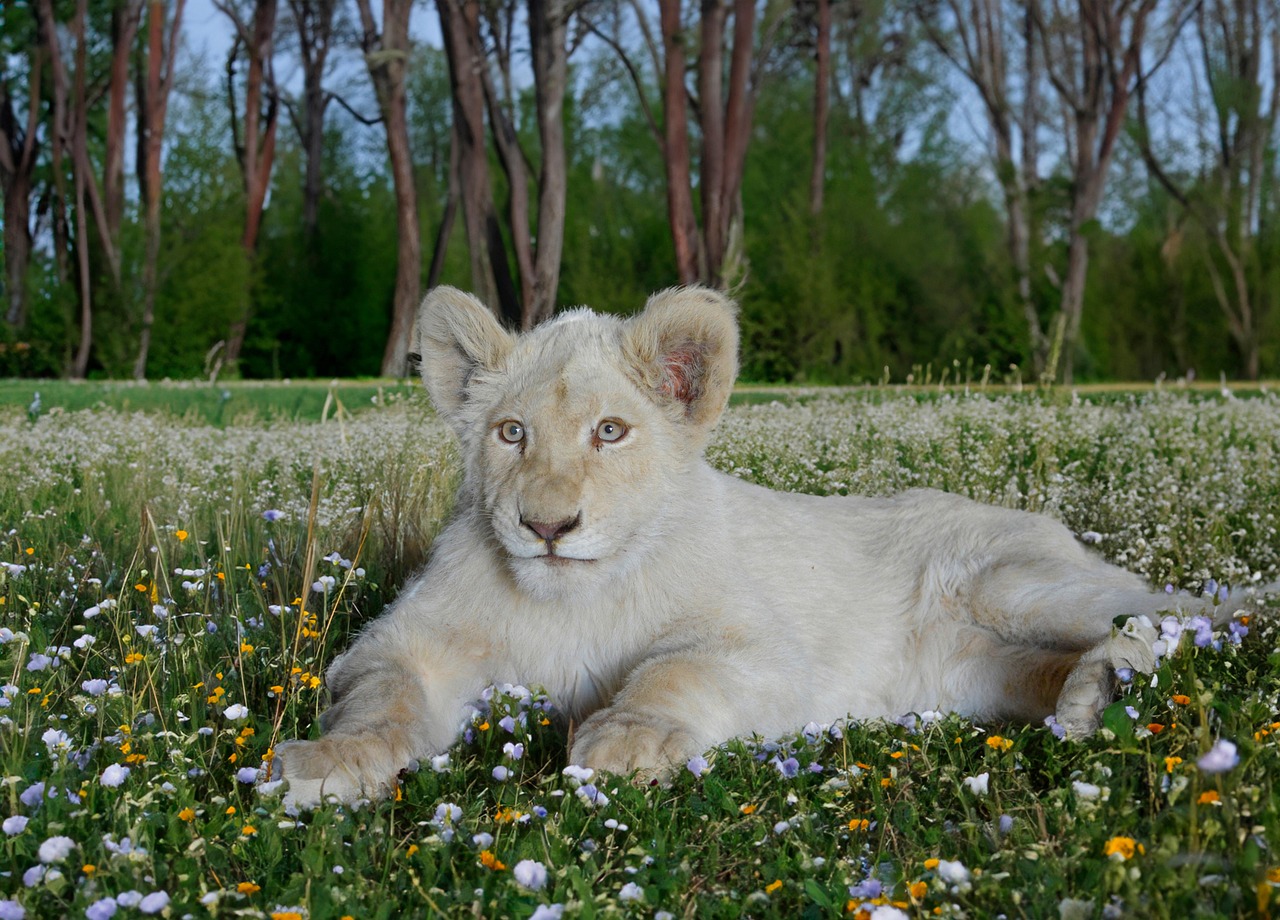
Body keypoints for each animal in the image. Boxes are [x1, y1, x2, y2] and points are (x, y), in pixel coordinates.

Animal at [273, 285, 1263, 808]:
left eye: (609, 431)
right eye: (511, 433)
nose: (547, 527)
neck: (572, 595)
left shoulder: (764, 647)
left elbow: (671, 668)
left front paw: (626, 740)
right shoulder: (406, 643)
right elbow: (386, 697)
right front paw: (324, 765)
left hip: (1017, 586)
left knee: (1179, 614)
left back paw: (1160, 649)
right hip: (966, 673)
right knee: (1056, 669)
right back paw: (1093, 695)